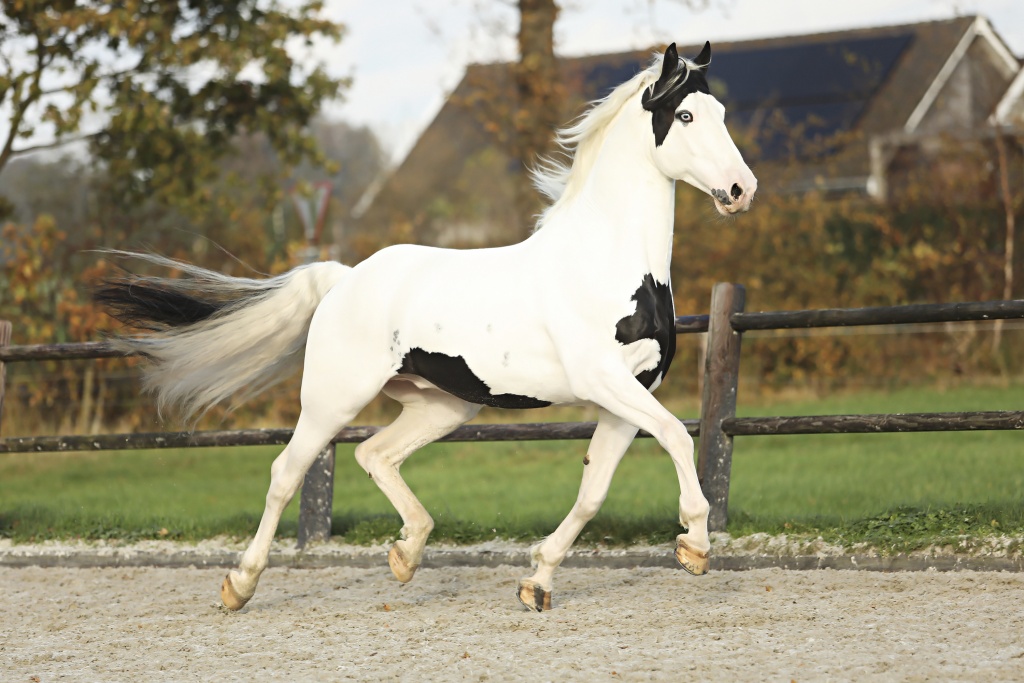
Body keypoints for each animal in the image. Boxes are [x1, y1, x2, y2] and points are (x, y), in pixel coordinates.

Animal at [96, 41, 756, 612]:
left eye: (723, 113)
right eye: (686, 114)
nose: (741, 190)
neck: (609, 264)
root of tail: (343, 279)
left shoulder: (628, 395)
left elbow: (594, 490)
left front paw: (537, 582)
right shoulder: (603, 382)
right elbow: (677, 437)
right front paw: (694, 545)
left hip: (441, 405)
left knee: (375, 455)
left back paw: (407, 553)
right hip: (333, 399)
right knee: (287, 473)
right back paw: (239, 585)